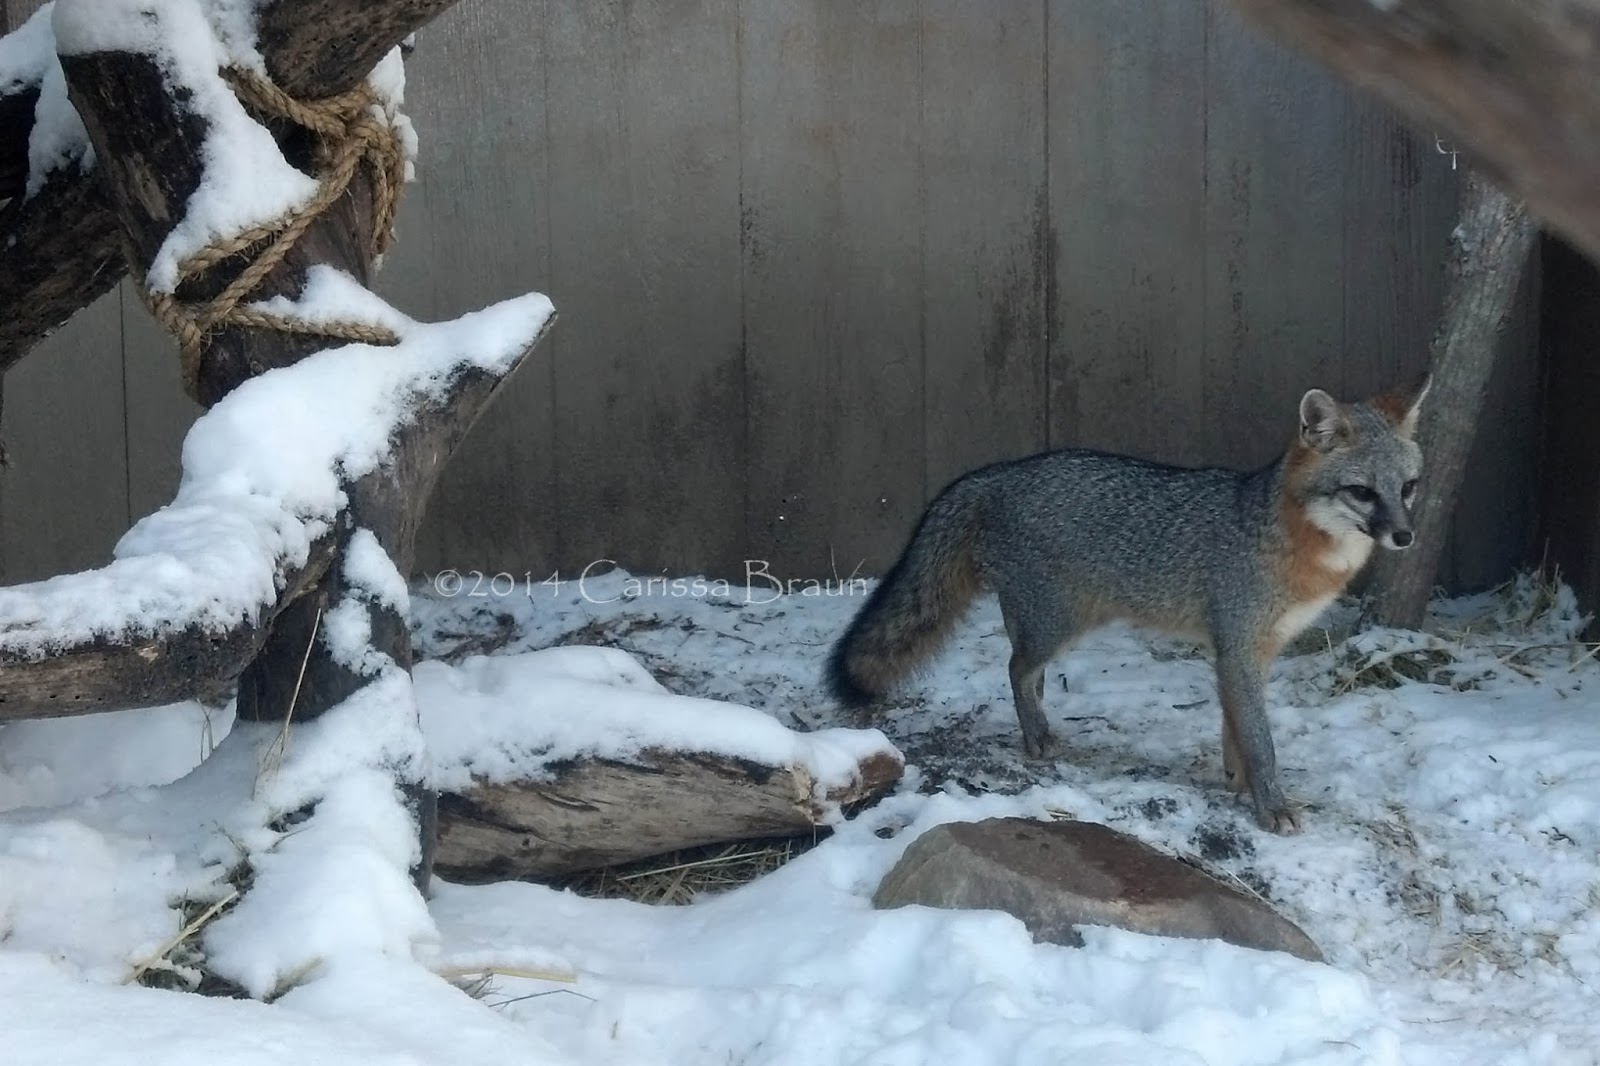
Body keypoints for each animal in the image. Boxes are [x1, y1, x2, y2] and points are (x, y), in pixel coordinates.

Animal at [825, 378, 1430, 834]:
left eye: (1408, 487)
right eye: (1362, 492)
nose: (1405, 537)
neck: (1289, 540)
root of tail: (999, 471)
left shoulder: (1252, 653)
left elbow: (1236, 729)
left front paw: (1237, 783)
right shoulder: (1237, 647)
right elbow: (1260, 740)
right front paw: (1271, 803)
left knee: (1030, 675)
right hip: (1059, 623)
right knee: (1016, 668)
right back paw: (1036, 735)